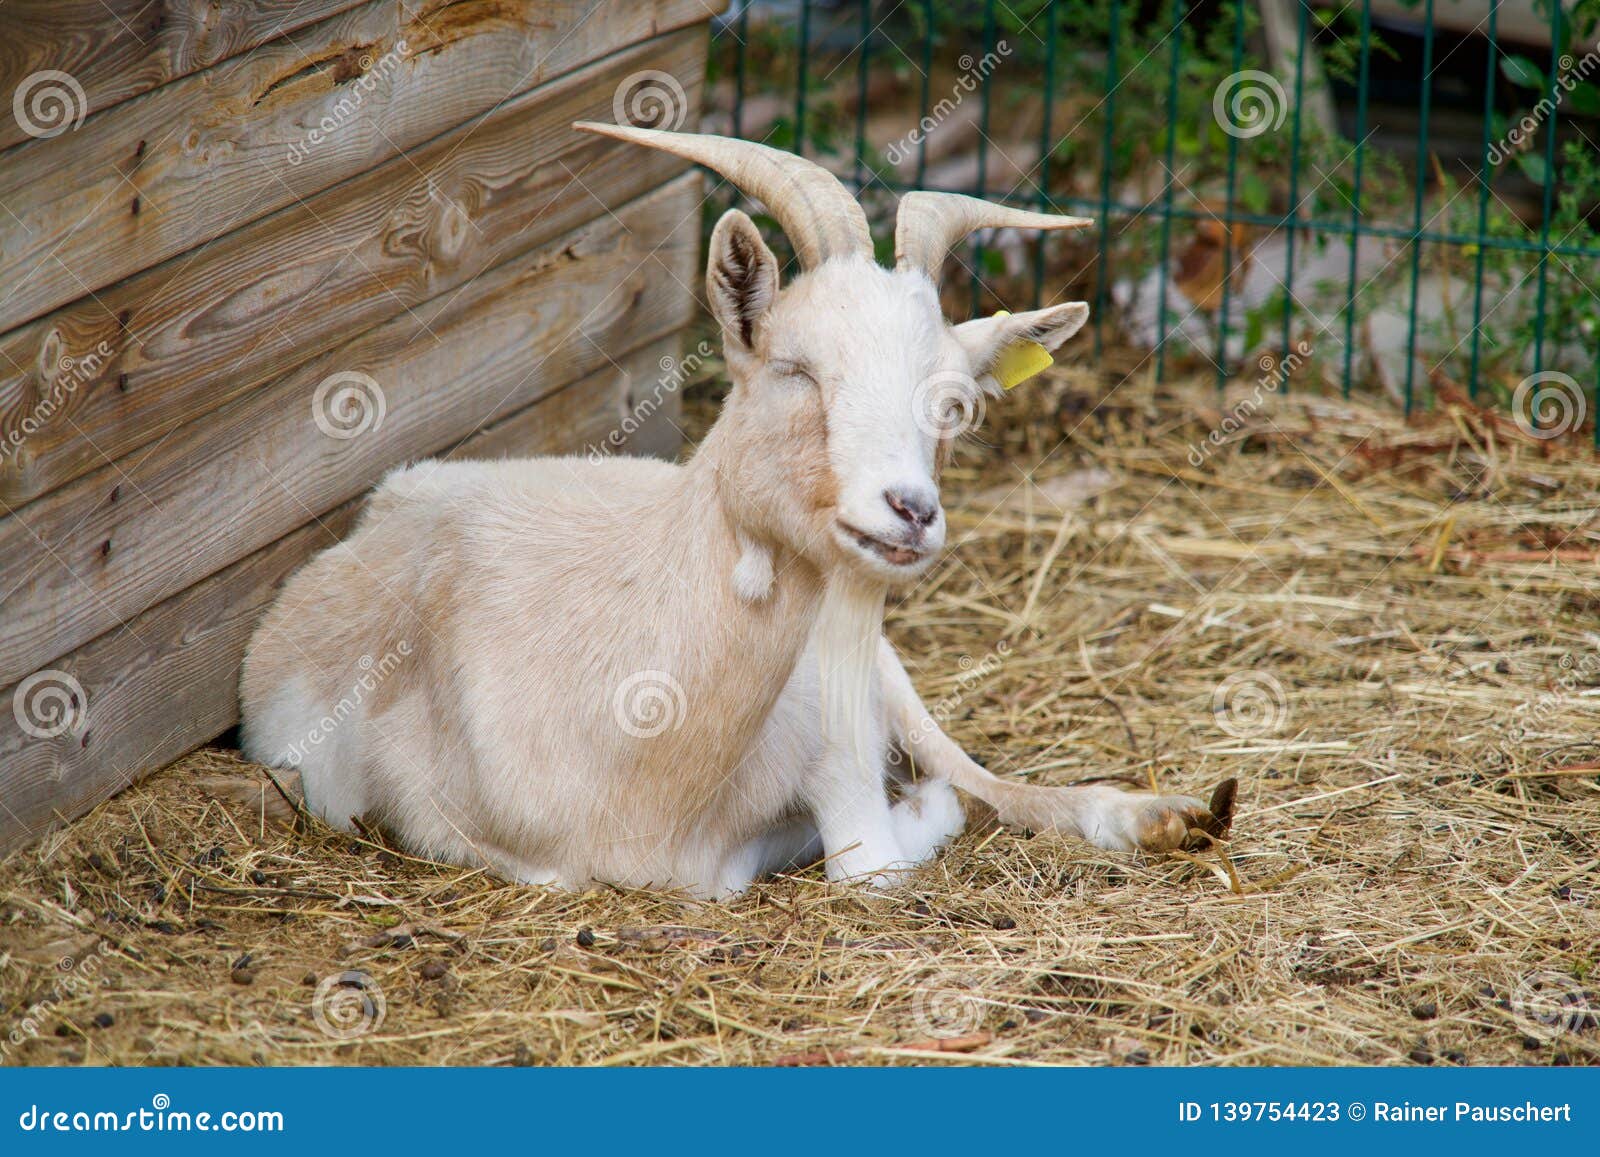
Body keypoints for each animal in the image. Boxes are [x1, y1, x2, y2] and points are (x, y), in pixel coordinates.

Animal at [239, 124, 1233, 897]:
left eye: (955, 402)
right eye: (796, 367)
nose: (910, 509)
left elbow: (876, 850)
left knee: (986, 780)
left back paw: (1171, 814)